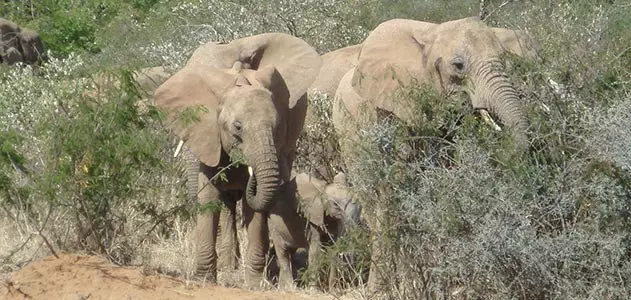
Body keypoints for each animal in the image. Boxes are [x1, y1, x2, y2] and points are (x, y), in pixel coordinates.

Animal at [152, 31, 320, 288]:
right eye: (237, 127)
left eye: (277, 126)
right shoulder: (207, 132)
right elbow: (208, 195)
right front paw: (204, 280)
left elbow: (255, 207)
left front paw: (254, 283)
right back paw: (228, 266)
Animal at [330, 17, 544, 292]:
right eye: (458, 66)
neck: (432, 33)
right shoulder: (392, 109)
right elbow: (396, 186)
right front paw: (396, 289)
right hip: (346, 132)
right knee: (371, 201)